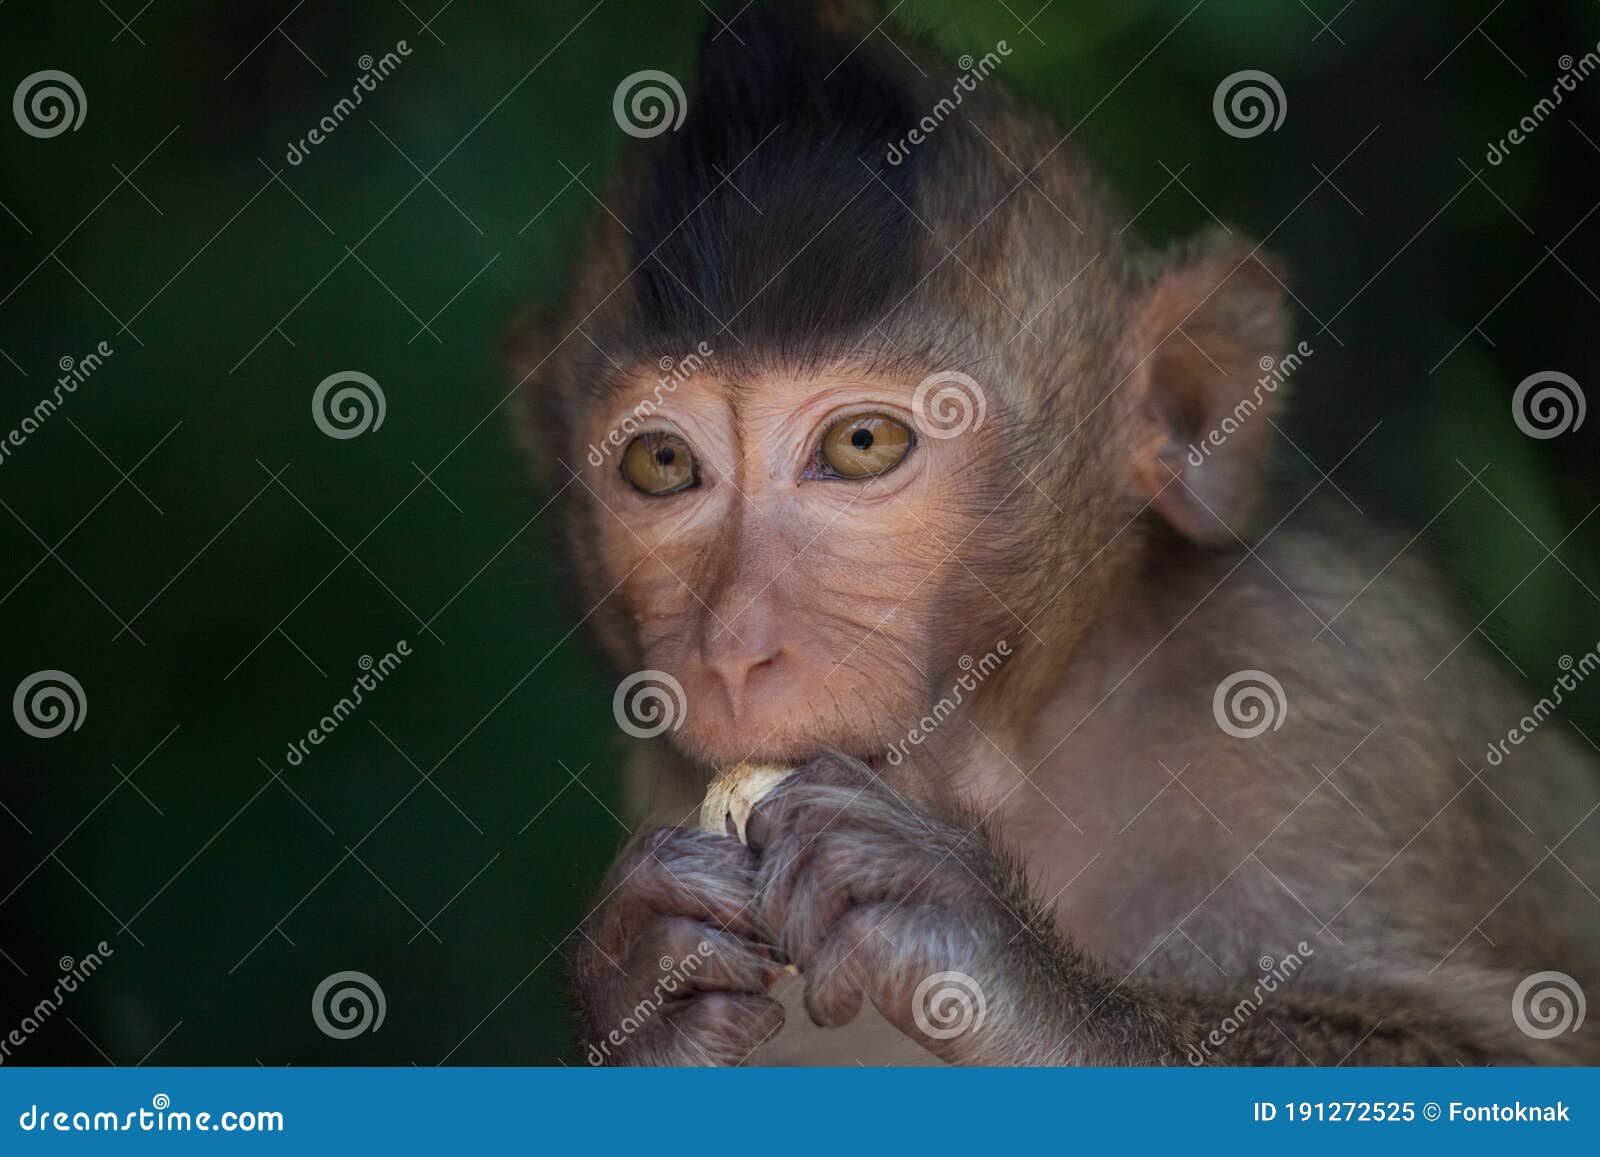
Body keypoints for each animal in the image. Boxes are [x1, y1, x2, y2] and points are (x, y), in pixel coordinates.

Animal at [507, 0, 1600, 1065]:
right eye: (662, 463)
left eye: (862, 444)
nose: (734, 649)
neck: (1022, 757)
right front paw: (640, 976)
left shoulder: (1332, 662)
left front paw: (993, 960)